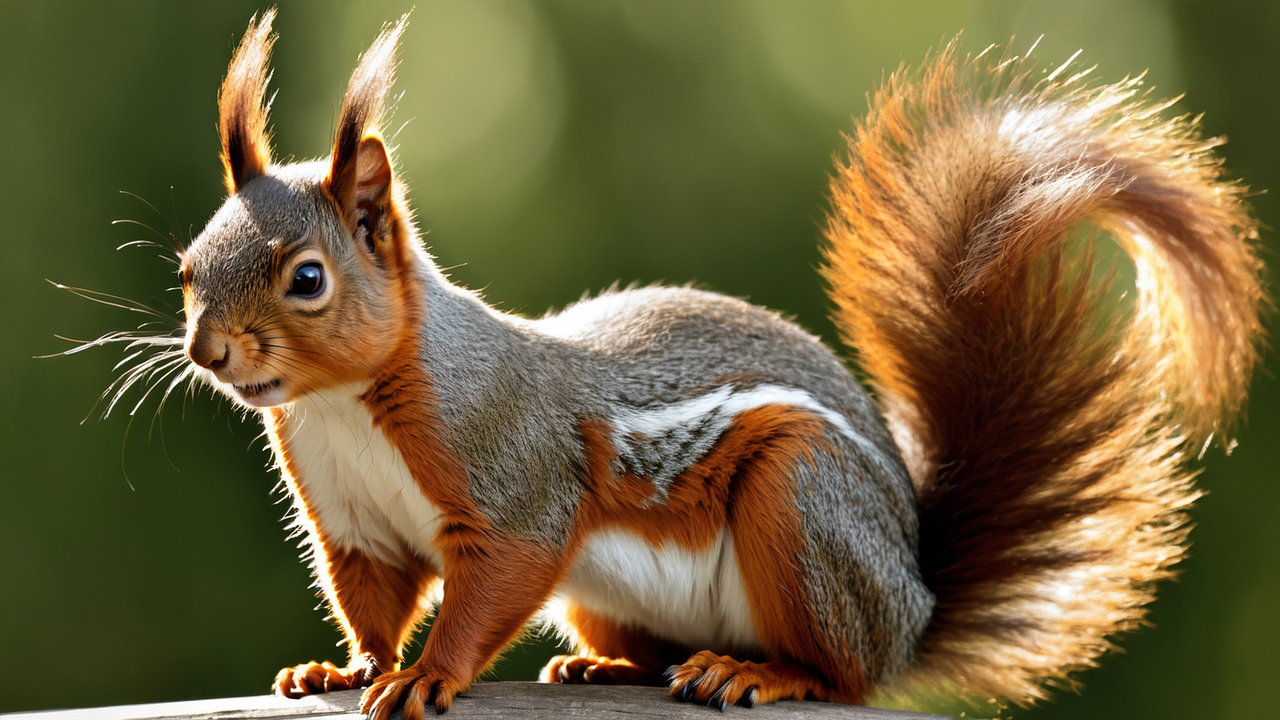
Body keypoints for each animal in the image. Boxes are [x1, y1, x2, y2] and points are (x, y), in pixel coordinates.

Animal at [151, 9, 1265, 720]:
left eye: (305, 278)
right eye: (189, 267)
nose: (208, 351)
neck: (341, 405)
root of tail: (912, 610)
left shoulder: (512, 478)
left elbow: (489, 581)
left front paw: (428, 677)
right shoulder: (356, 528)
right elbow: (374, 603)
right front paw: (345, 671)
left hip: (803, 505)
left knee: (844, 673)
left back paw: (760, 677)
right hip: (618, 590)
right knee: (657, 657)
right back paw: (608, 670)